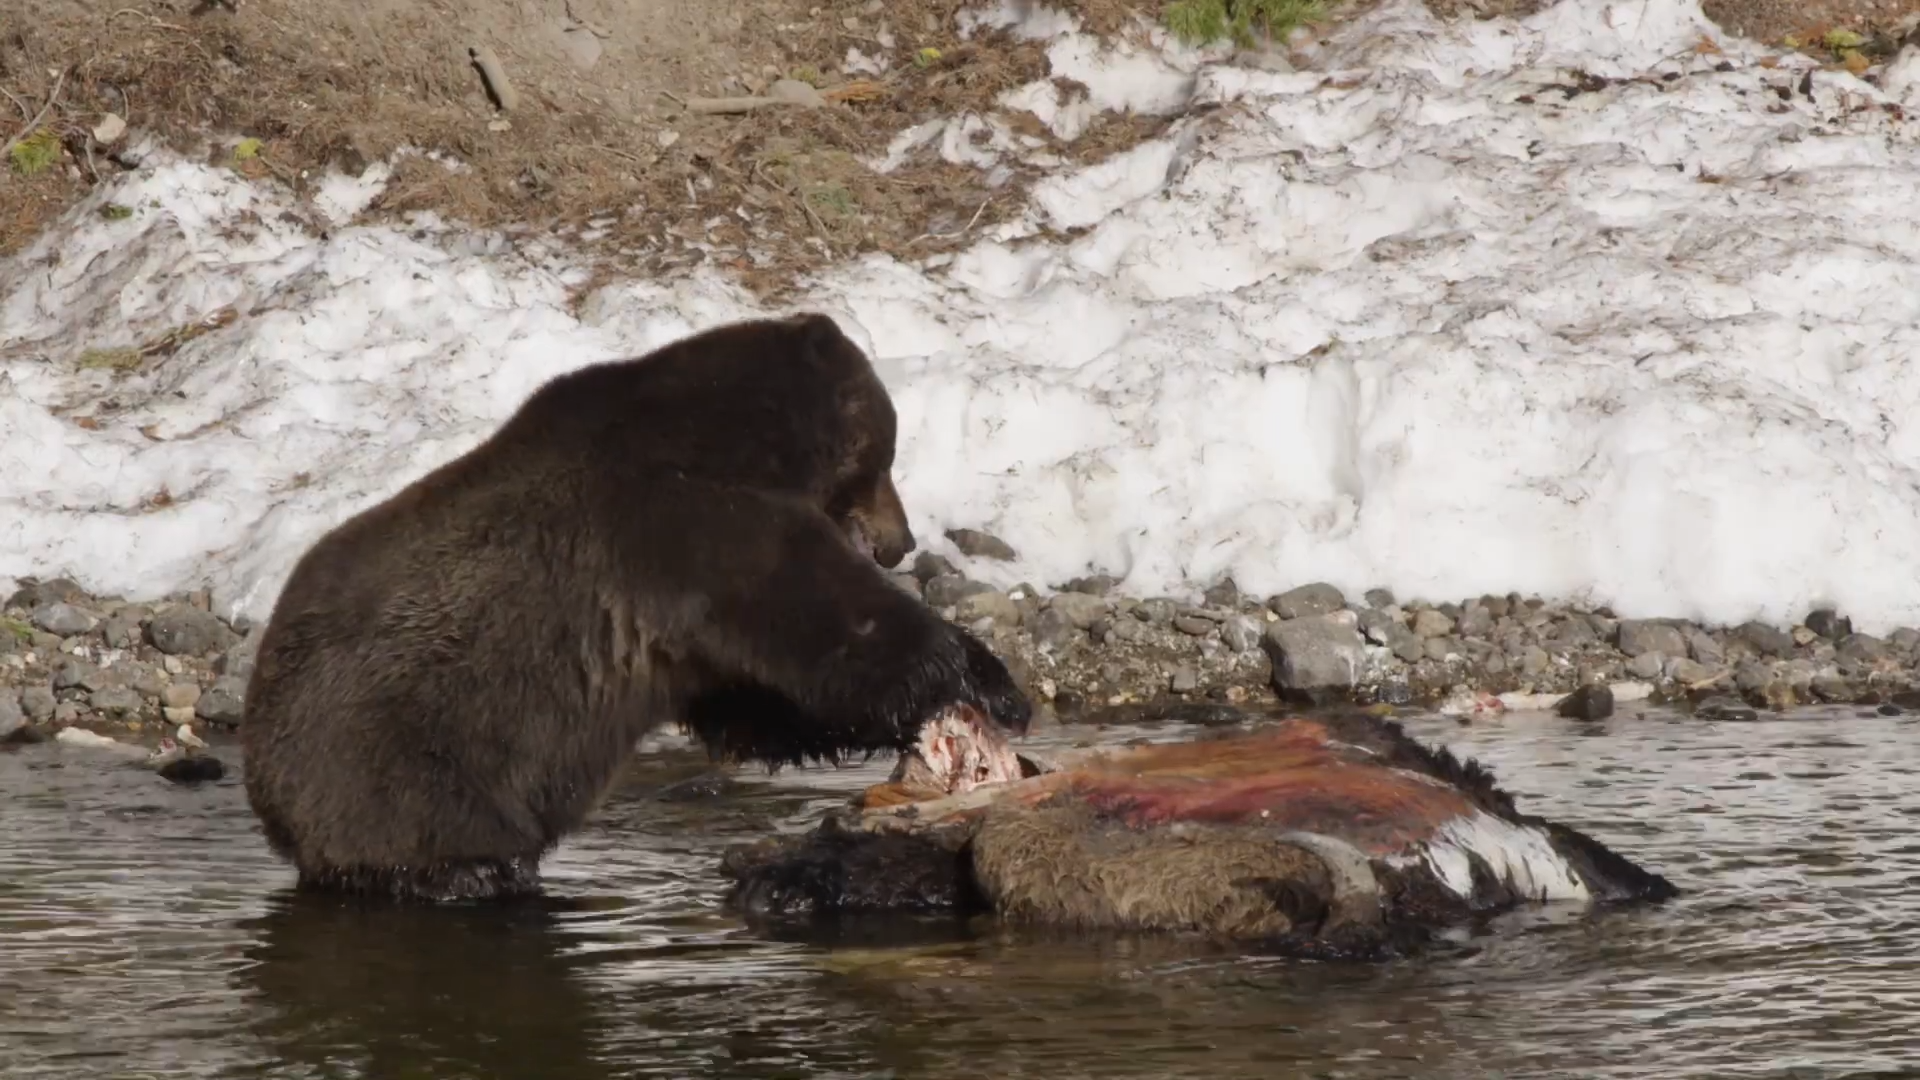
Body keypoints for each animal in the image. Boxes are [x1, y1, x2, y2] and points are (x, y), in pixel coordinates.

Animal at [238, 312, 1032, 903]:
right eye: (887, 455)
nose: (902, 543)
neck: (750, 445)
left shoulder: (686, 628)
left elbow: (761, 699)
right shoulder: (693, 529)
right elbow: (831, 630)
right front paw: (981, 676)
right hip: (405, 760)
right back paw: (475, 873)